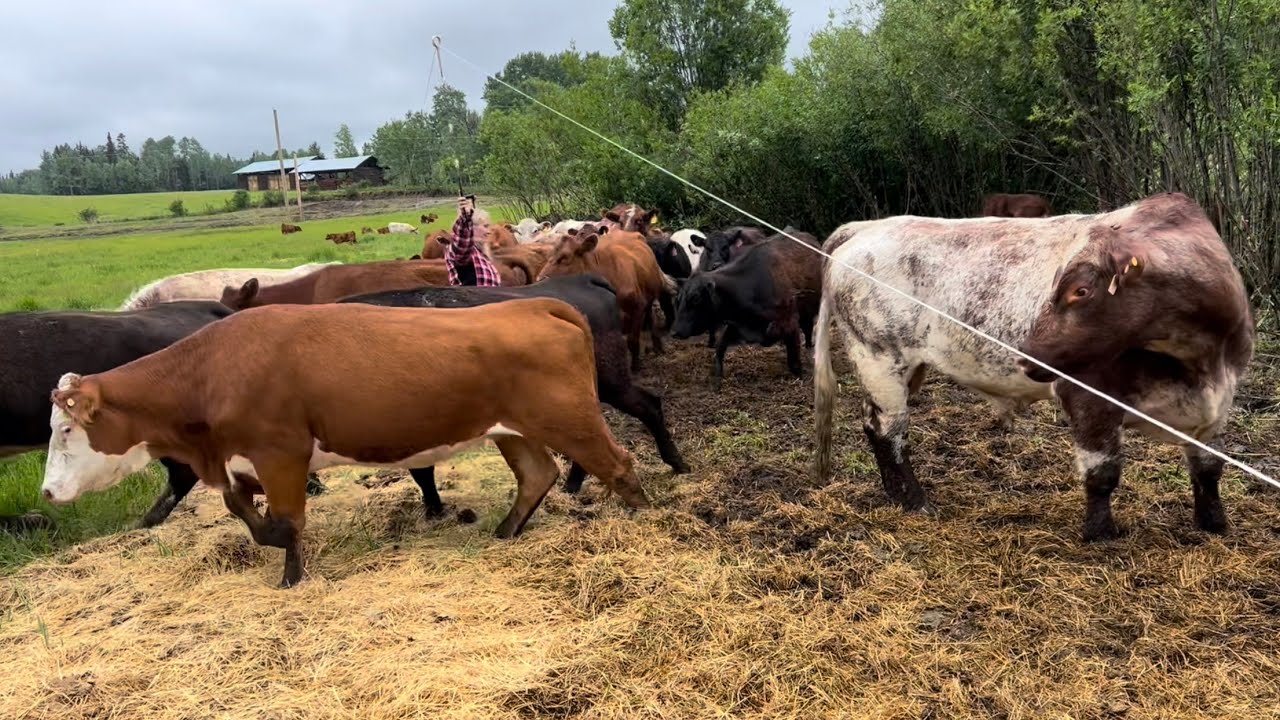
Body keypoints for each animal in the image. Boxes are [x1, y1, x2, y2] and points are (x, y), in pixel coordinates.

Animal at [41, 298, 651, 588]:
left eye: (66, 429)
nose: (46, 491)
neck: (210, 371)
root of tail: (535, 303)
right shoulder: (240, 461)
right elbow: (244, 510)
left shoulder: (281, 453)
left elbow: (286, 524)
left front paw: (290, 580)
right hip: (514, 430)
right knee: (537, 475)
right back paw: (504, 534)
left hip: (571, 419)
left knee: (619, 466)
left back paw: (651, 526)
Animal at [340, 273, 689, 510]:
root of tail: (581, 280)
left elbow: (421, 471)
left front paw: (434, 509)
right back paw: (574, 484)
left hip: (610, 381)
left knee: (647, 406)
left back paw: (677, 463)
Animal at [537, 228, 666, 371]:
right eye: (548, 257)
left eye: (564, 257)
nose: (538, 279)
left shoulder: (637, 307)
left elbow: (633, 341)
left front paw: (635, 366)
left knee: (651, 315)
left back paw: (657, 345)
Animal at [671, 229, 823, 390]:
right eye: (677, 300)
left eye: (696, 298)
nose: (675, 332)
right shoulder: (735, 326)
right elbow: (719, 349)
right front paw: (717, 380)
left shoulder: (790, 323)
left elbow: (794, 363)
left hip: (809, 309)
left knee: (808, 331)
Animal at [813, 192, 1255, 541]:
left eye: (1081, 291)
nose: (1025, 355)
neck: (1201, 364)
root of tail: (866, 227)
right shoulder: (1090, 396)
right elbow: (1103, 472)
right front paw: (1100, 534)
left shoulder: (1219, 405)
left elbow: (1209, 467)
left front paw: (1213, 523)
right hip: (879, 358)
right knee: (887, 430)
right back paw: (914, 500)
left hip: (905, 367)